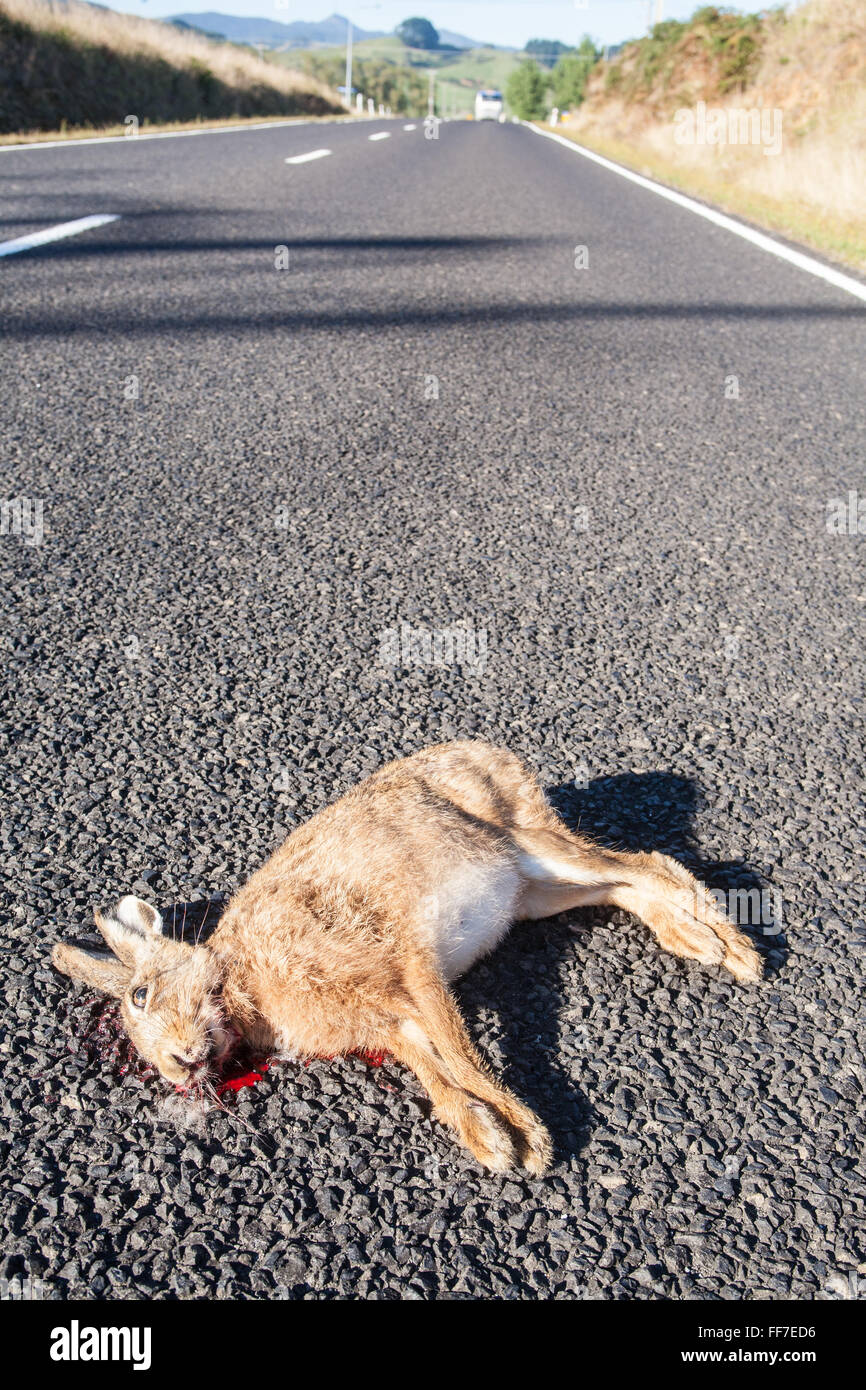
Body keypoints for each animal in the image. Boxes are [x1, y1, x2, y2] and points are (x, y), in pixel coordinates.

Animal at [52, 740, 763, 1174]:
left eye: (142, 992)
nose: (175, 1068)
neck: (241, 980)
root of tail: (488, 751)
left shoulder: (408, 967)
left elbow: (463, 1056)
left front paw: (527, 1142)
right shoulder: (392, 1021)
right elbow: (433, 1069)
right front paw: (486, 1137)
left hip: (524, 840)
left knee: (650, 865)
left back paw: (736, 951)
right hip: (535, 892)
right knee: (624, 886)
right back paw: (698, 941)